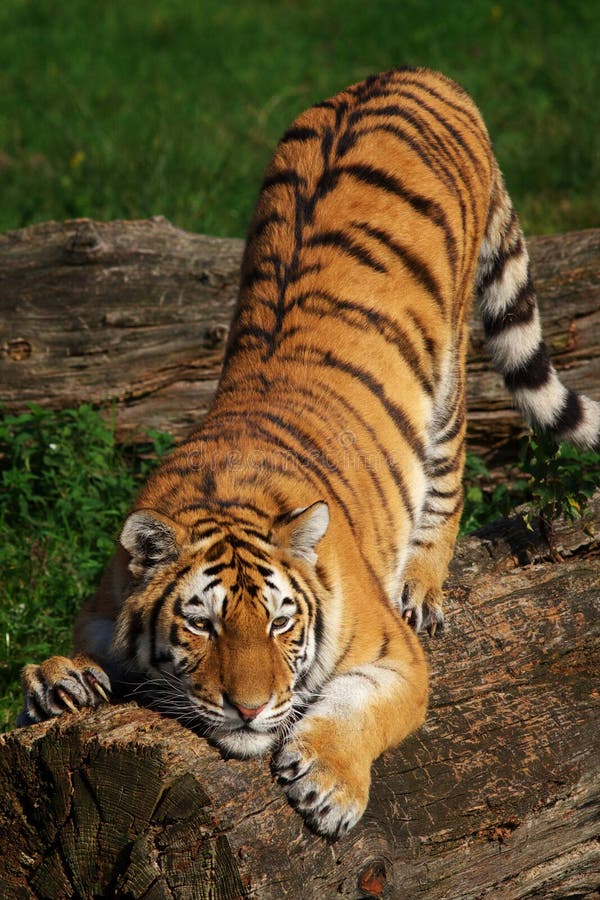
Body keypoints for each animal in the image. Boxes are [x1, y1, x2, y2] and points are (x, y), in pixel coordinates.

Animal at [19, 67, 600, 840]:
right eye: (200, 623)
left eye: (280, 621)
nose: (249, 708)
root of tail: (416, 72)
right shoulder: (104, 601)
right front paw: (58, 681)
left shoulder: (395, 658)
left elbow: (361, 708)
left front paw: (327, 785)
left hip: (448, 370)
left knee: (449, 470)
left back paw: (422, 586)